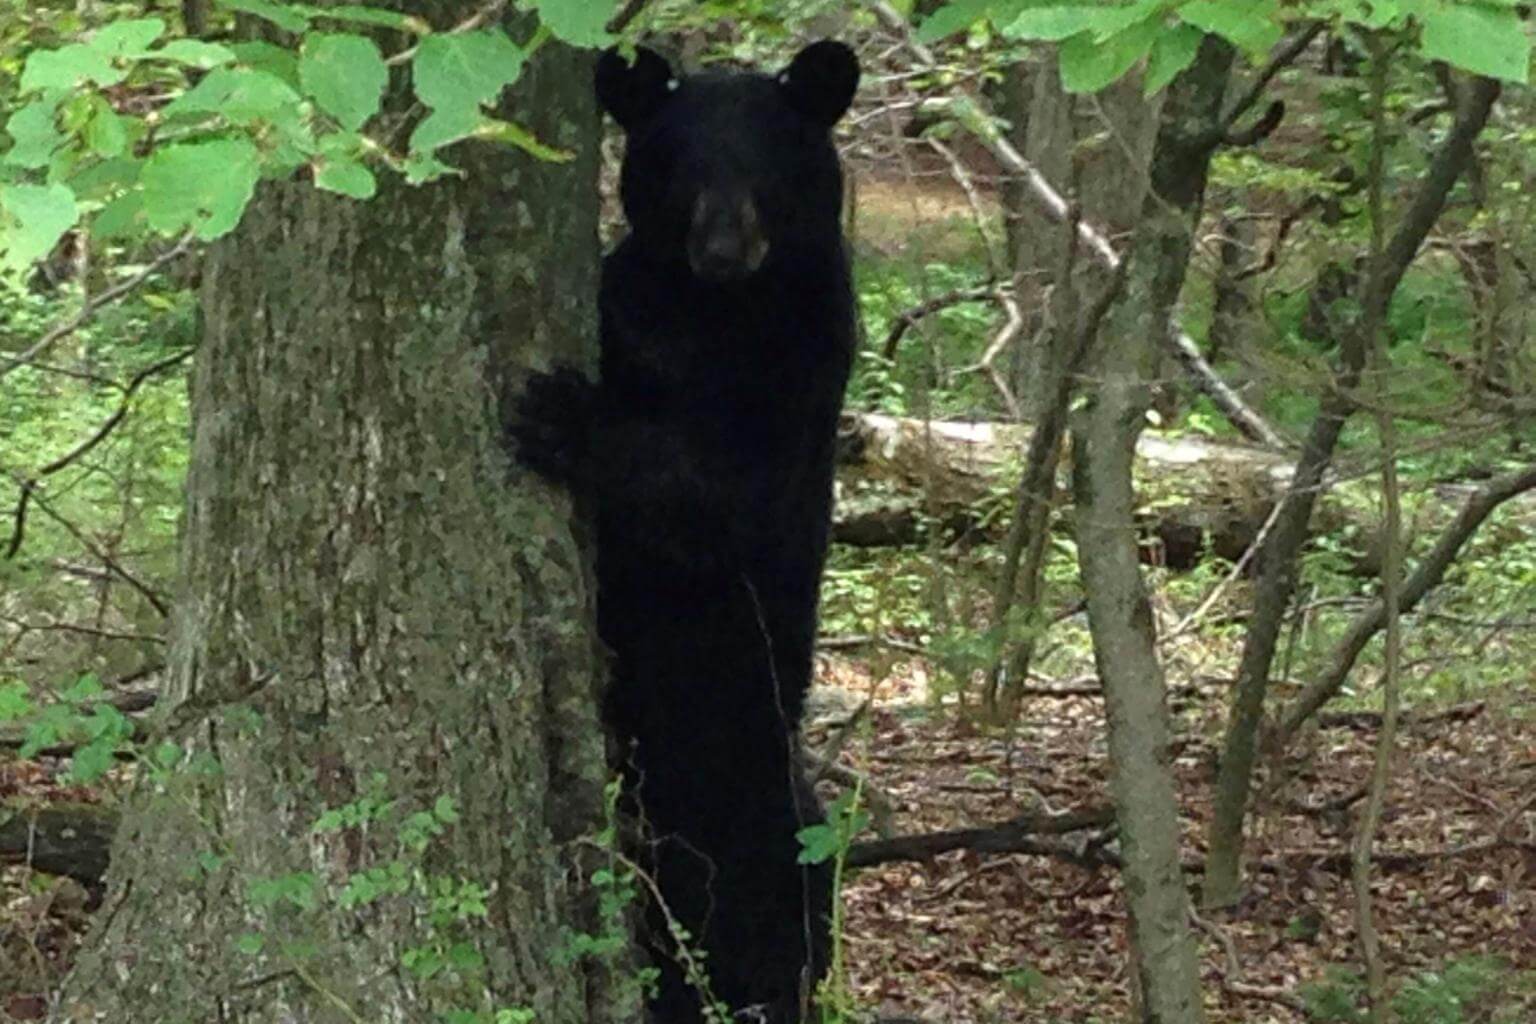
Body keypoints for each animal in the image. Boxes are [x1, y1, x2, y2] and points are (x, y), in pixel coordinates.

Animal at [508, 39, 861, 1024]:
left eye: (769, 164)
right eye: (679, 167)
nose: (723, 249)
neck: (717, 316)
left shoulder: (804, 363)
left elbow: (718, 495)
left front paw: (561, 416)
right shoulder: (633, 303)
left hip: (773, 831)